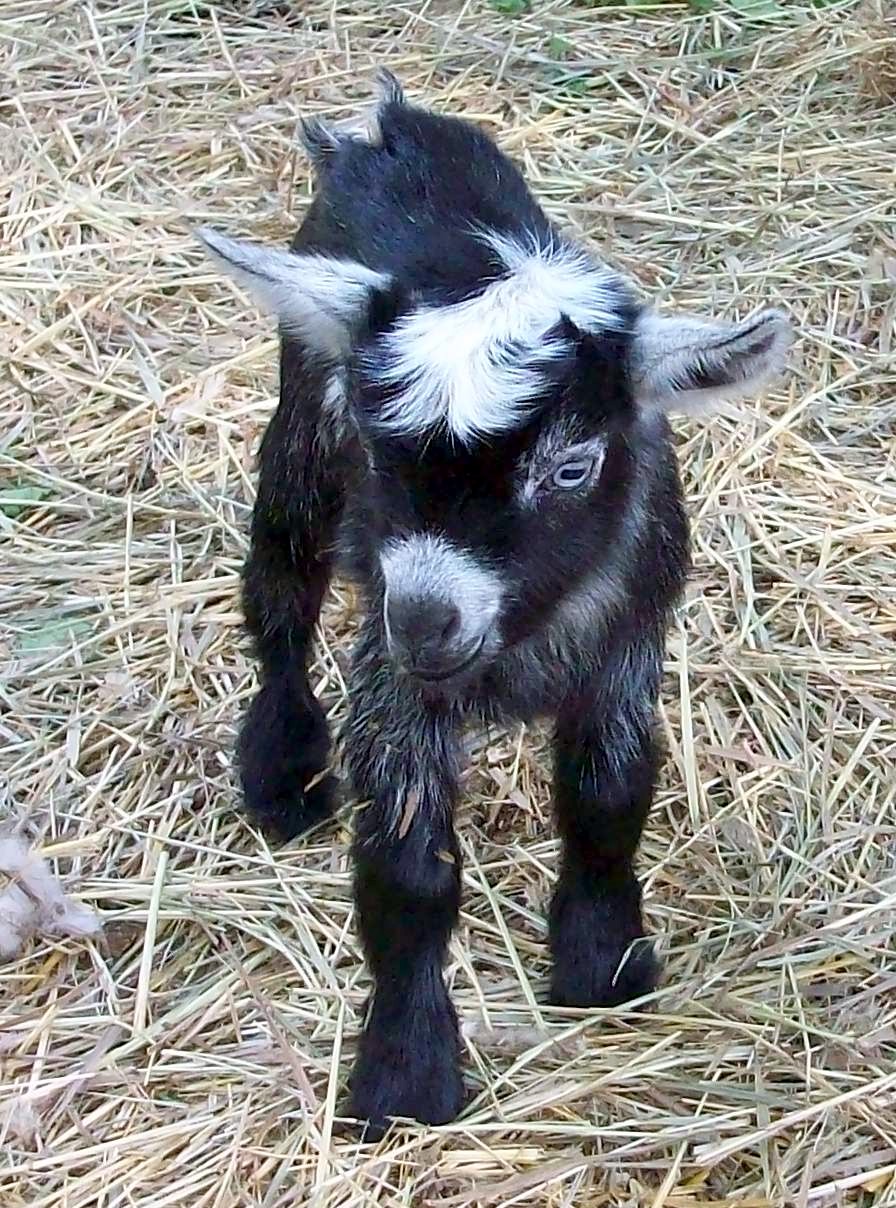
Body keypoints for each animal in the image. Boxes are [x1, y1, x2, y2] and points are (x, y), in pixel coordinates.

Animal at [197, 71, 791, 1136]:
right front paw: (407, 1074)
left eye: (571, 467)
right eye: (380, 453)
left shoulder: (625, 641)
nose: (427, 618)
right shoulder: (395, 682)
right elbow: (408, 868)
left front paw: (603, 964)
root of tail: (384, 129)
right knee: (279, 593)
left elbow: (608, 798)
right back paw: (281, 769)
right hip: (300, 435)